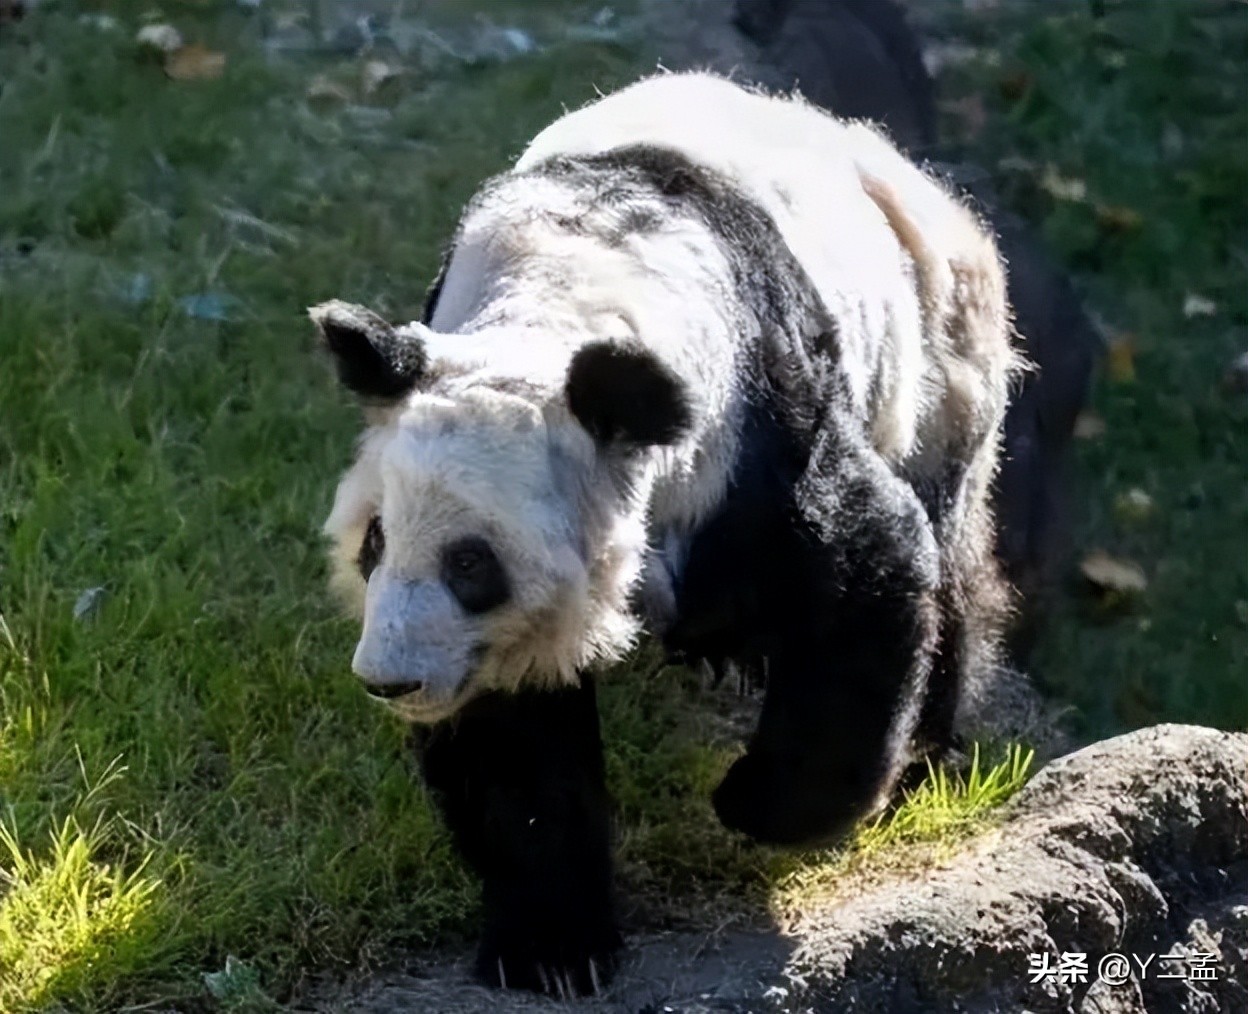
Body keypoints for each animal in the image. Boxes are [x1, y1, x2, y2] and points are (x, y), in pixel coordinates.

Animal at [310, 72, 1017, 995]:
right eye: (374, 544)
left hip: (943, 368)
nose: (390, 680)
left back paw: (922, 759)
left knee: (949, 557)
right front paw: (552, 947)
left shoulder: (758, 435)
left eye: (472, 564)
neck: (562, 305)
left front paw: (755, 803)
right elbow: (515, 735)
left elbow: (870, 568)